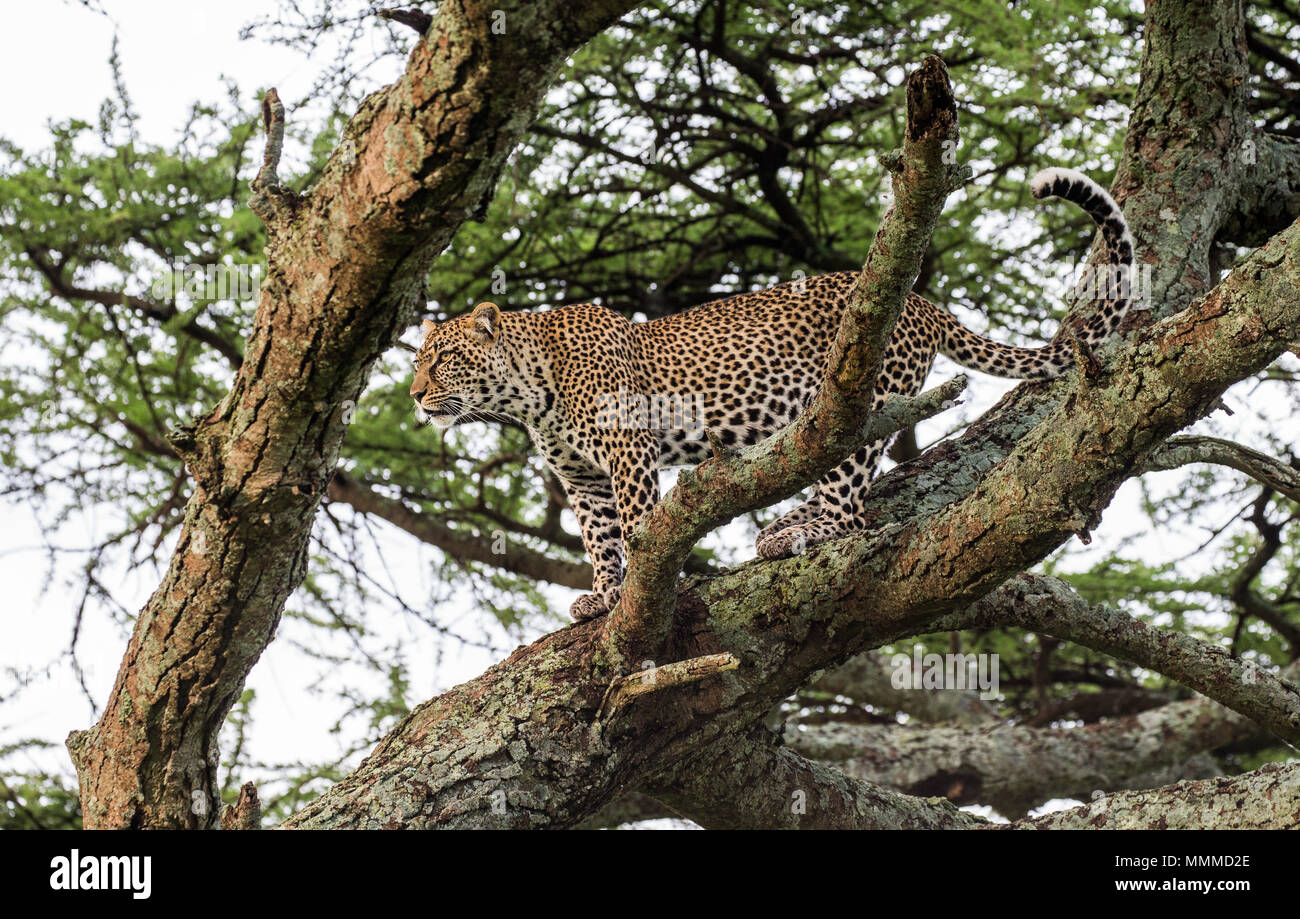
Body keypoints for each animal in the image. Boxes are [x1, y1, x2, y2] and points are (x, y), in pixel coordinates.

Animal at [410, 168, 1134, 621]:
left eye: (442, 359)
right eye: (417, 363)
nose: (416, 397)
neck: (528, 392)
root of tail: (925, 302)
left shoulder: (627, 451)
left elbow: (637, 525)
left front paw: (639, 587)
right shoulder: (582, 476)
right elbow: (596, 537)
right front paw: (603, 595)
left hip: (860, 402)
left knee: (851, 508)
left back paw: (798, 532)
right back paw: (783, 523)